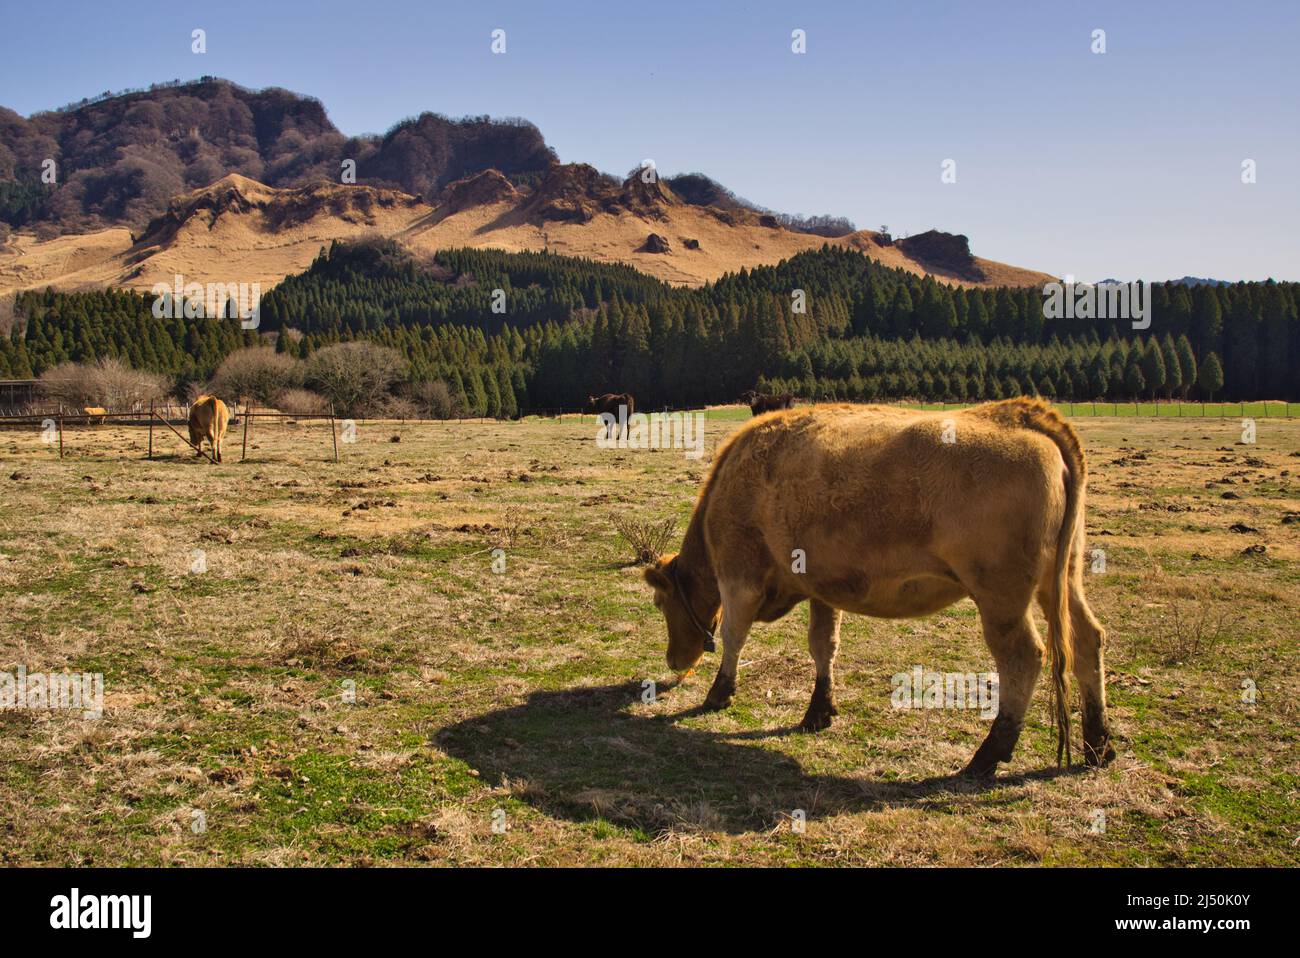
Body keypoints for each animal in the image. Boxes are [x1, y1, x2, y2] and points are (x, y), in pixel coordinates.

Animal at [642, 397, 1114, 777]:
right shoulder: (821, 587)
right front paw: (819, 711)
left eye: (661, 603)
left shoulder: (740, 575)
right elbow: (823, 645)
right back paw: (1098, 744)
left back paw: (987, 756)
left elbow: (733, 635)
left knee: (1023, 657)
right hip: (1062, 578)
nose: (672, 661)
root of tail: (1022, 414)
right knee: (1088, 639)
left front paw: (718, 693)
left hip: (1002, 595)